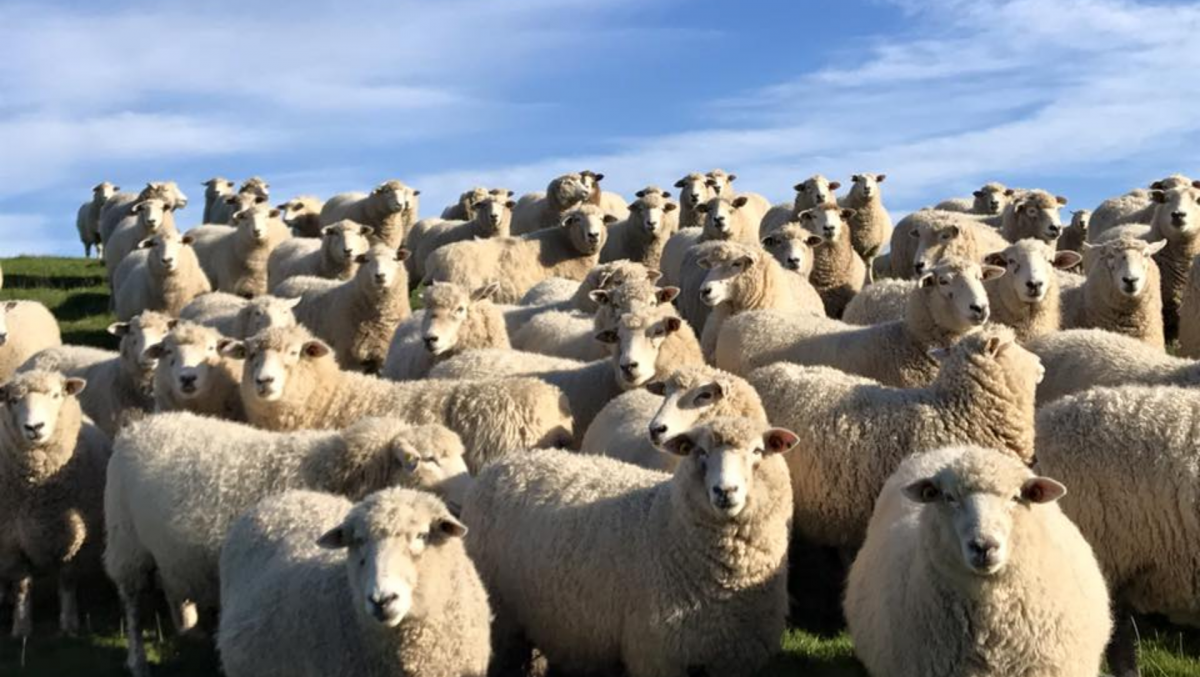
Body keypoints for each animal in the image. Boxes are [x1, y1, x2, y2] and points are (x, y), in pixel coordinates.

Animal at [0, 371, 110, 638]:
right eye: (13, 400)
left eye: (56, 395)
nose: (34, 427)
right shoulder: (11, 544)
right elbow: (22, 586)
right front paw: (21, 627)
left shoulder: (77, 541)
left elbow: (68, 581)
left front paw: (69, 624)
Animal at [281, 244, 411, 373]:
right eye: (367, 260)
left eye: (394, 259)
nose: (380, 276)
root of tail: (290, 280)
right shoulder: (348, 356)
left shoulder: (381, 356)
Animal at [464, 418, 795, 677]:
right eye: (700, 452)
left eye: (758, 451)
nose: (725, 491)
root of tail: (505, 463)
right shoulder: (657, 656)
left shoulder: (735, 656)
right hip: (501, 615)